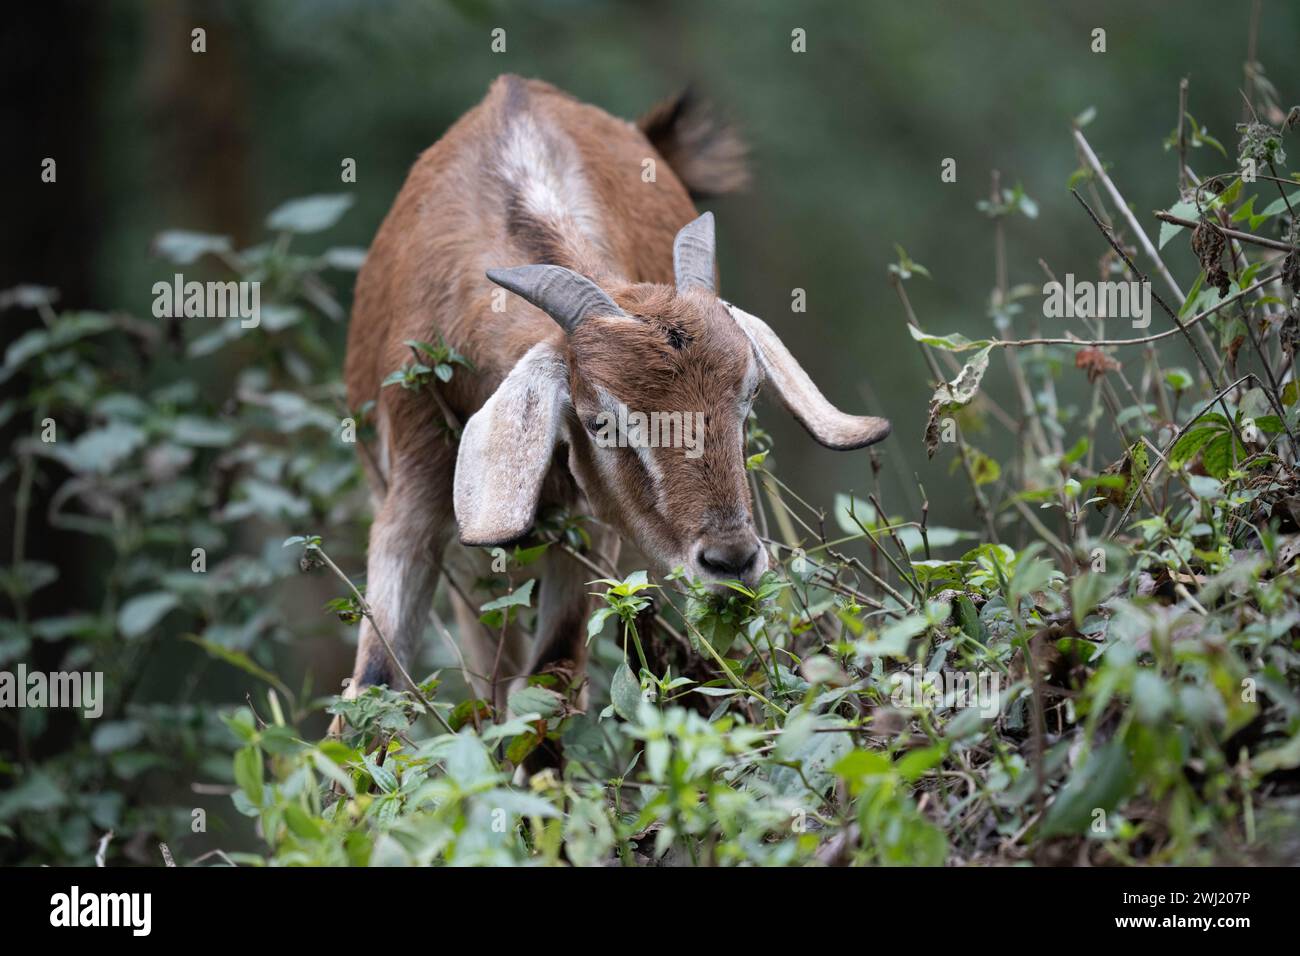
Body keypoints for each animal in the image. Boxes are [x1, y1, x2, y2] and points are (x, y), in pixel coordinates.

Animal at [339, 75, 890, 739]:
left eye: (750, 395)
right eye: (601, 420)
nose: (731, 561)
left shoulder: (589, 526)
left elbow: (551, 680)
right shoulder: (413, 496)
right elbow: (374, 686)